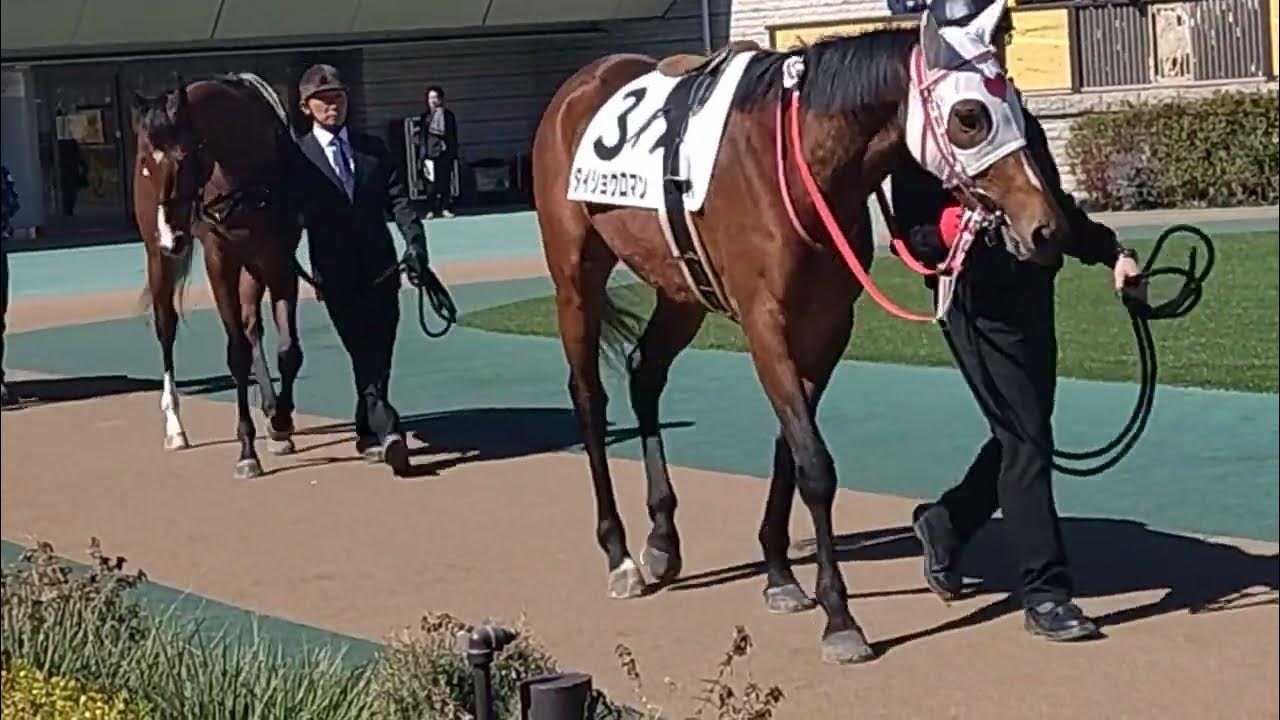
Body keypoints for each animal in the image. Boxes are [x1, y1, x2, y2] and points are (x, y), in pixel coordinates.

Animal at [131, 73, 304, 480]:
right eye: (146, 163)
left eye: (184, 157)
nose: (171, 235)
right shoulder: (220, 261)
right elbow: (236, 351)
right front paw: (247, 449)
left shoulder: (279, 260)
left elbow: (288, 348)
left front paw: (280, 421)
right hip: (158, 258)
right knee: (166, 326)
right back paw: (175, 426)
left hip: (253, 263)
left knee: (252, 324)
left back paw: (271, 410)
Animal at [531, 0, 1068, 663]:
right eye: (970, 116)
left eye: (1016, 100)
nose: (1046, 227)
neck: (797, 163)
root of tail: (582, 84)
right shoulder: (767, 324)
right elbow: (814, 464)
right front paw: (839, 616)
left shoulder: (827, 328)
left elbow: (791, 447)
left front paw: (780, 574)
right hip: (575, 276)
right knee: (588, 397)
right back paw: (620, 553)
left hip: (681, 289)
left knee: (644, 374)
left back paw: (661, 538)